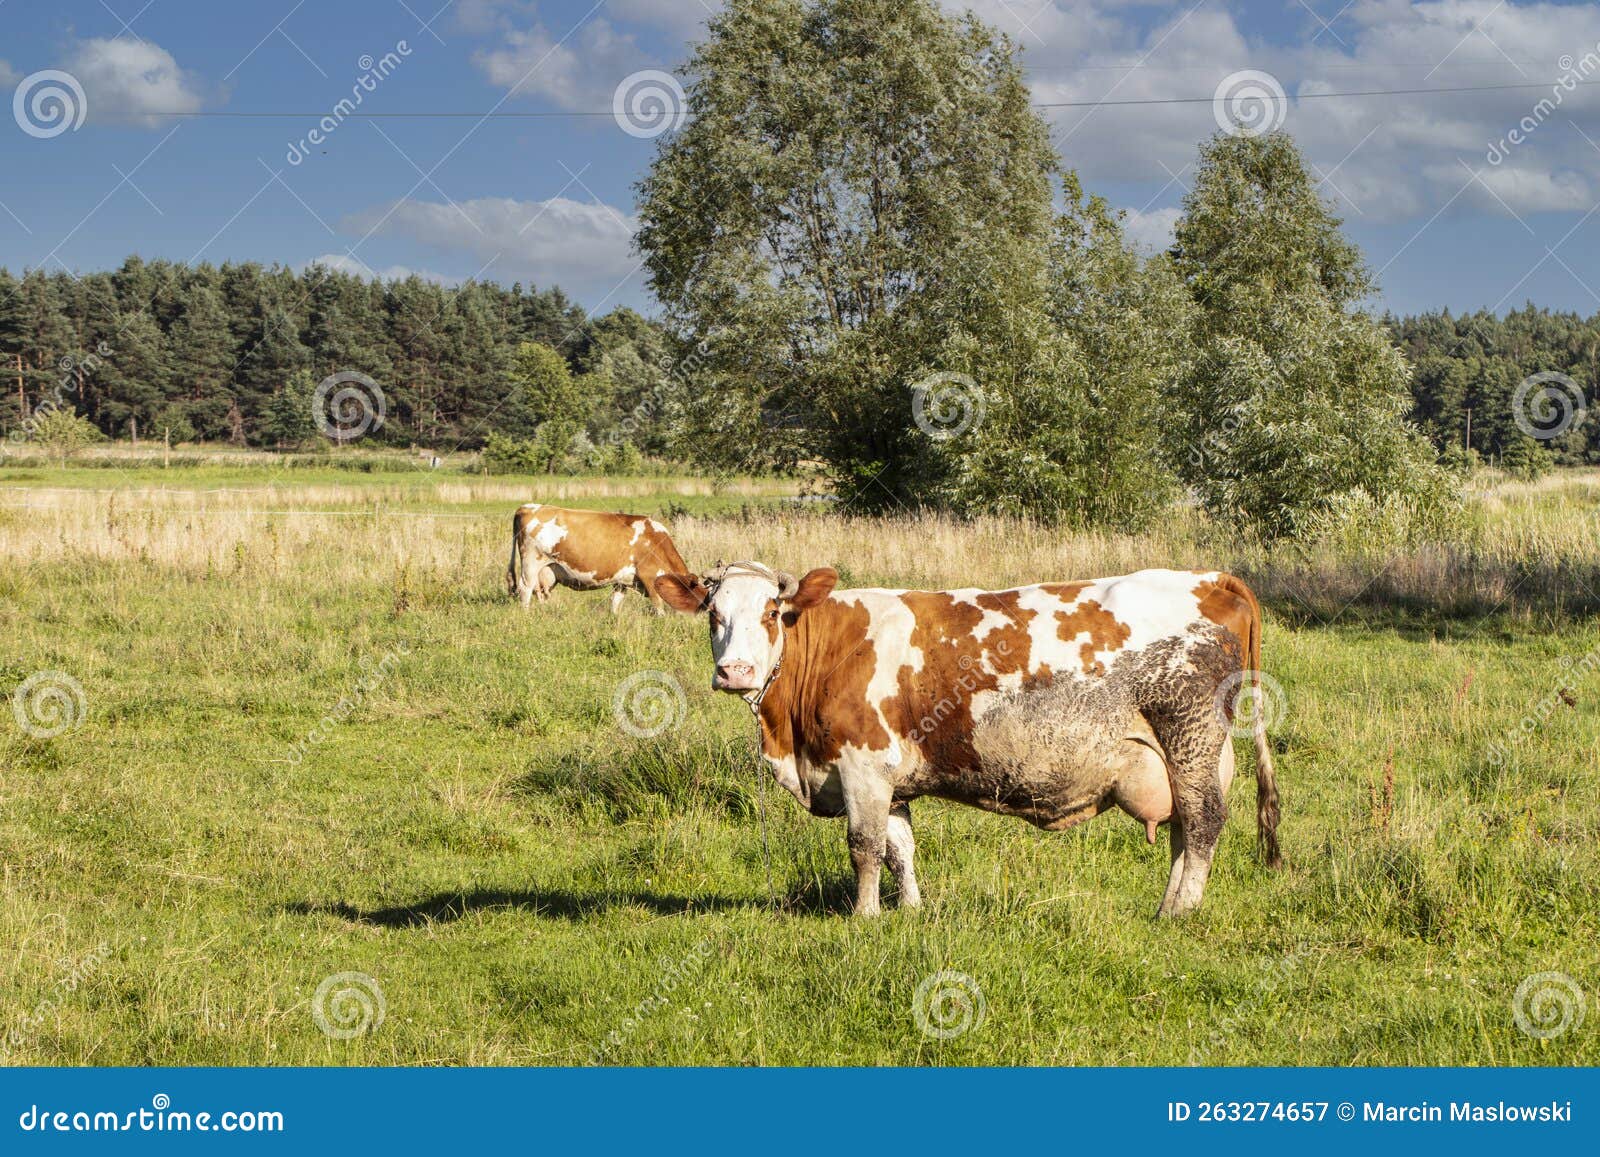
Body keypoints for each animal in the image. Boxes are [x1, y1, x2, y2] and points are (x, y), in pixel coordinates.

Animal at [507, 504, 689, 614]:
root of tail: (528, 507)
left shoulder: (622, 582)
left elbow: (615, 603)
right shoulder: (649, 577)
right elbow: (658, 606)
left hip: (546, 571)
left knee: (539, 591)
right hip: (531, 563)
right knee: (525, 588)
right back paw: (527, 613)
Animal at [655, 562, 1281, 918]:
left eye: (770, 610)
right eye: (712, 614)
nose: (734, 671)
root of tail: (1209, 577)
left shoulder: (863, 767)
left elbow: (864, 847)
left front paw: (864, 918)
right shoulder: (892, 781)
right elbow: (899, 848)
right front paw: (908, 912)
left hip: (1189, 736)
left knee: (1201, 822)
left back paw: (1179, 912)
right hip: (1188, 755)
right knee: (1183, 830)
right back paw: (1170, 904)